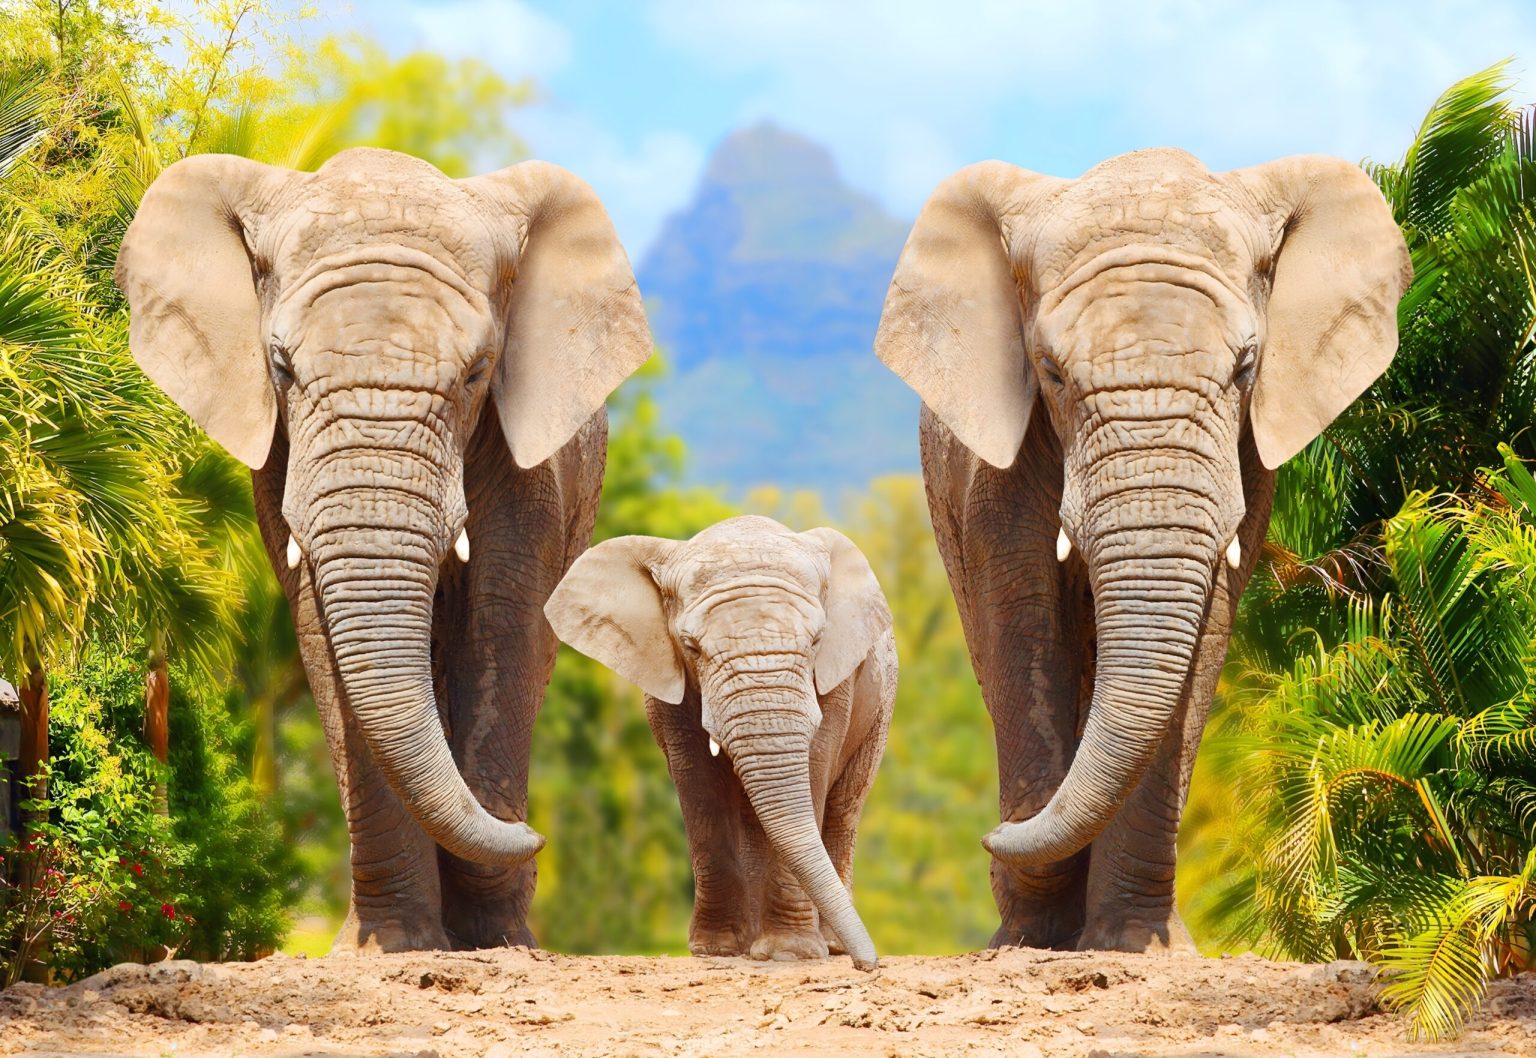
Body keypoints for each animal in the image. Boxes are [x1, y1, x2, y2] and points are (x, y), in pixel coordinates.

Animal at [114, 147, 652, 951]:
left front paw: (496, 942)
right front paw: (394, 946)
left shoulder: (532, 471)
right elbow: (321, 637)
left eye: (478, 371)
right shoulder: (278, 462)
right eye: (280, 367)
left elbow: (502, 629)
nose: (535, 838)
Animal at [544, 516, 895, 970]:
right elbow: (700, 785)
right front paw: (718, 949)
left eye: (817, 641)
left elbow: (815, 769)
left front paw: (789, 954)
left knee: (843, 808)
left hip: (881, 708)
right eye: (691, 647)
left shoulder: (837, 680)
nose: (868, 965)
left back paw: (828, 945)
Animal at [874, 148, 1410, 953]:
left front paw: (1132, 944)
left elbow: (1202, 638)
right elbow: (1023, 626)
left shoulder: (1247, 463)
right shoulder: (995, 474)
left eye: (1246, 367)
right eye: (1050, 371)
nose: (991, 836)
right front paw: (1031, 939)